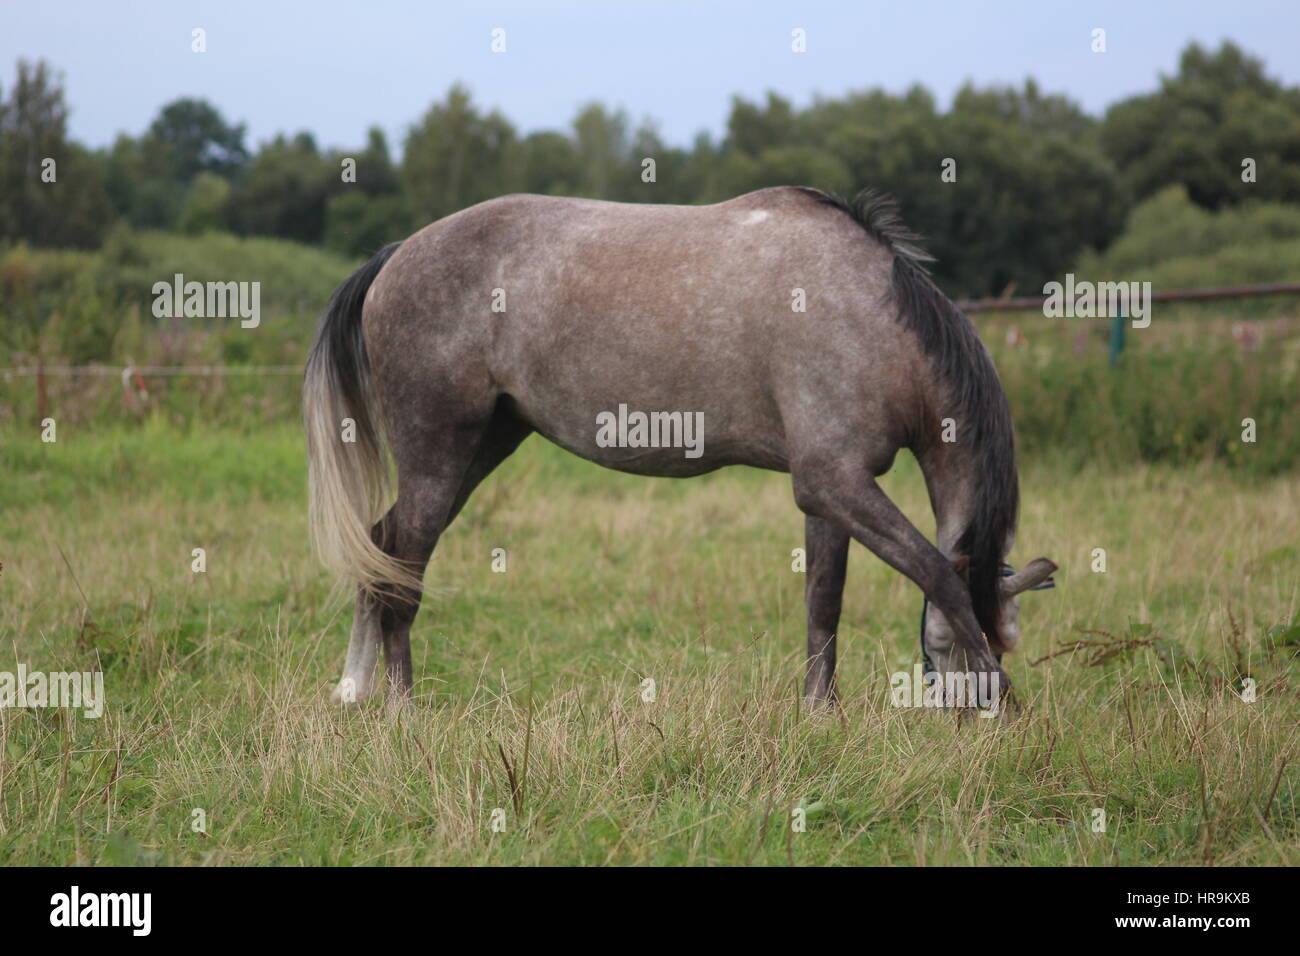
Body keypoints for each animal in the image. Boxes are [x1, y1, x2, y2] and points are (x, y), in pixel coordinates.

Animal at [304, 186, 1057, 709]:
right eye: (993, 638)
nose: (970, 712)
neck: (866, 314)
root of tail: (397, 254)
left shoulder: (831, 495)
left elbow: (824, 601)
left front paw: (820, 712)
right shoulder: (833, 482)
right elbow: (937, 575)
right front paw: (1012, 709)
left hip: (482, 446)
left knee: (381, 546)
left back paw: (355, 690)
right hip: (437, 452)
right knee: (402, 567)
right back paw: (402, 706)